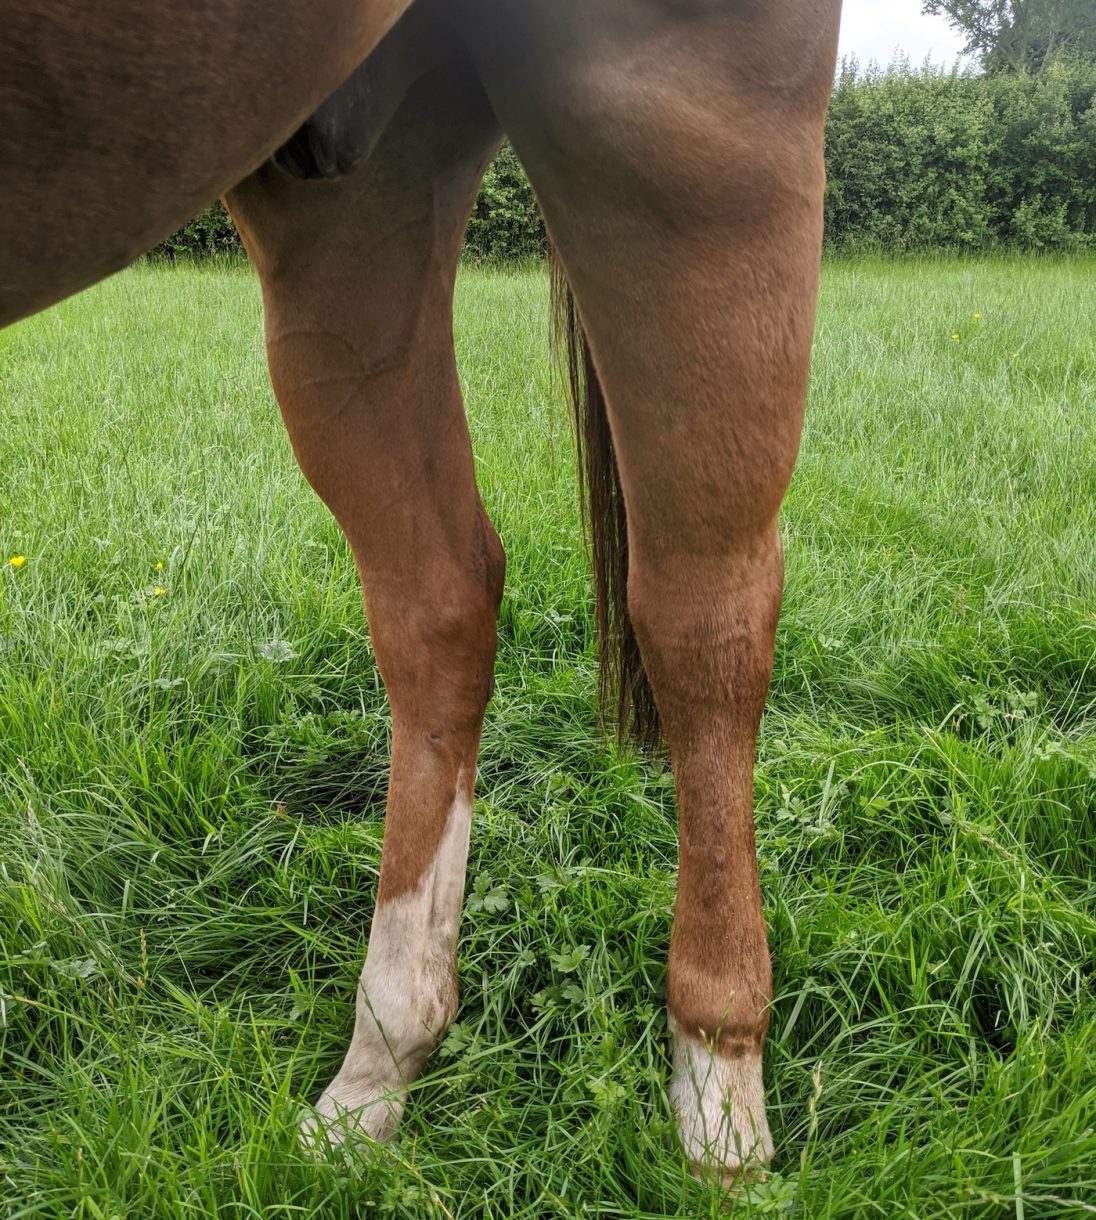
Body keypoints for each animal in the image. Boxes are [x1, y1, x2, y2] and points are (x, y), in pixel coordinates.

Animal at [4, 0, 843, 1181]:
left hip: (686, 133)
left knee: (702, 619)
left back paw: (718, 1086)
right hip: (353, 193)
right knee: (440, 601)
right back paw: (378, 1069)